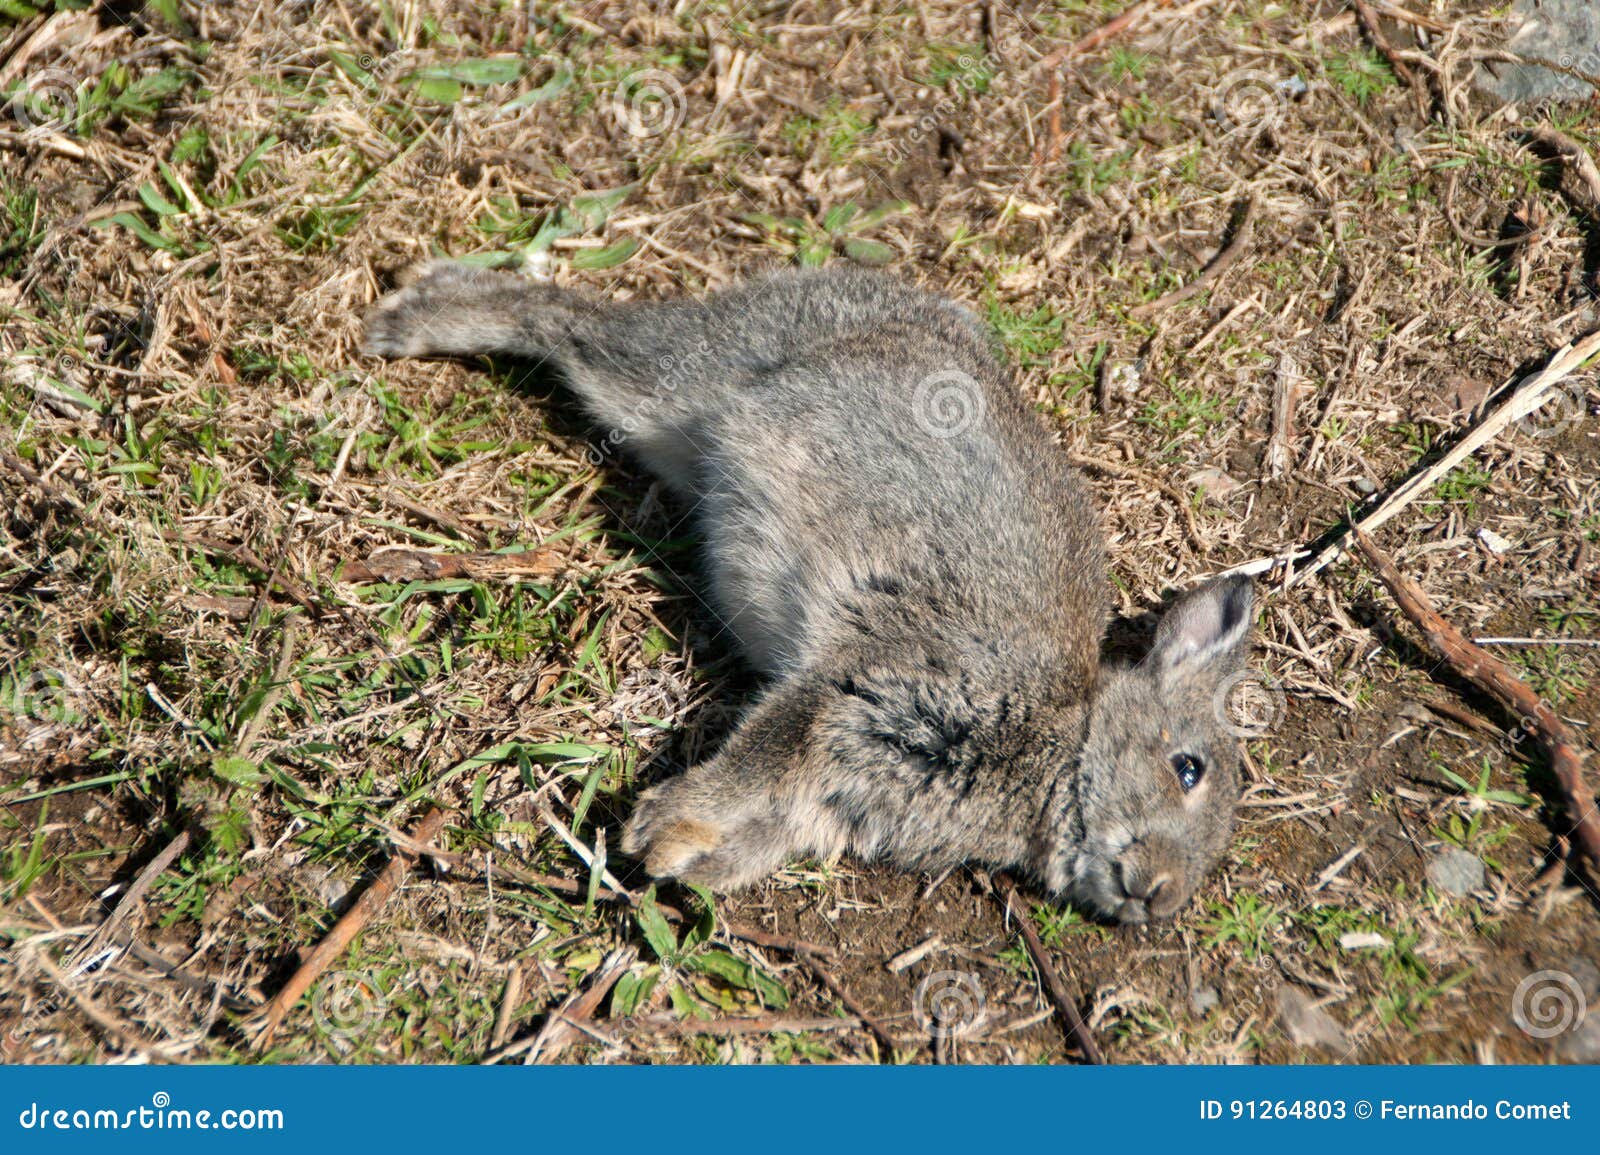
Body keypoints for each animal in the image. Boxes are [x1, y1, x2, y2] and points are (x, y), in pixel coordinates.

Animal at [363, 262, 1255, 923]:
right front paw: (661, 825)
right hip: (671, 377)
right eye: (1187, 767)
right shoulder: (857, 683)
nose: (1161, 898)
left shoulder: (835, 791)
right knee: (566, 323)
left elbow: (768, 820)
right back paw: (408, 316)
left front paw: (678, 859)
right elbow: (761, 755)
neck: (1061, 737)